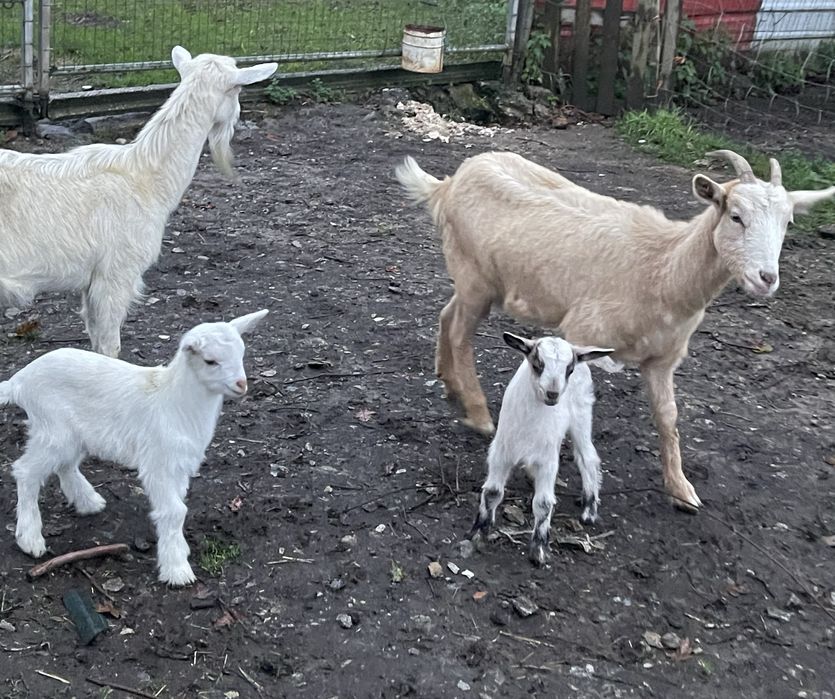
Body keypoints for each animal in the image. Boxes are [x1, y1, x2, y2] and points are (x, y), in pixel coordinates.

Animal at [0, 47, 277, 358]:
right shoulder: (116, 274)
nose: (238, 118)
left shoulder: (91, 280)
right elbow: (109, 346)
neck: (146, 177)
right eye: (238, 89)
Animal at [0, 309, 269, 586]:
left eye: (241, 353)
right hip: (53, 429)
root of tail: (18, 382)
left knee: (65, 465)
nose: (241, 384)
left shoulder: (179, 465)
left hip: (72, 434)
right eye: (210, 361)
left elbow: (177, 506)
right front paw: (177, 570)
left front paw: (178, 550)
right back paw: (30, 539)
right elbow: (174, 511)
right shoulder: (159, 463)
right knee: (25, 471)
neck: (175, 401)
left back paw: (88, 501)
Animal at [396, 150, 835, 510]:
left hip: (477, 282)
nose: (766, 279)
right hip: (474, 274)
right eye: (736, 216)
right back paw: (477, 411)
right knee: (459, 330)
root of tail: (448, 183)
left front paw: (681, 489)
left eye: (788, 222)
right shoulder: (580, 332)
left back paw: (448, 380)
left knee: (447, 314)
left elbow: (668, 417)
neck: (663, 268)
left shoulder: (663, 359)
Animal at [470, 333, 614, 566]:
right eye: (538, 365)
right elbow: (492, 492)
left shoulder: (548, 460)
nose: (552, 393)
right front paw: (479, 533)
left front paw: (539, 550)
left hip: (582, 415)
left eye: (569, 370)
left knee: (588, 458)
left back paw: (589, 511)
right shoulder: (501, 452)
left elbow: (544, 503)